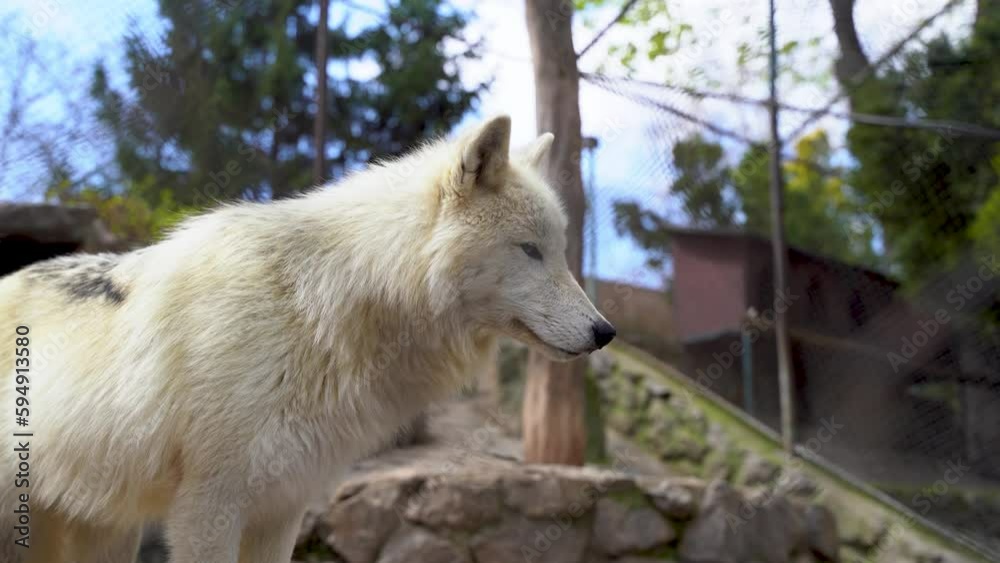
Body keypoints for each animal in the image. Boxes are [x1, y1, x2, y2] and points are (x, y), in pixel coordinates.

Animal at [0, 115, 616, 562]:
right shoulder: (209, 506)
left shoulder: (283, 504)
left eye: (558, 250)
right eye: (530, 250)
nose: (605, 332)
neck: (313, 309)